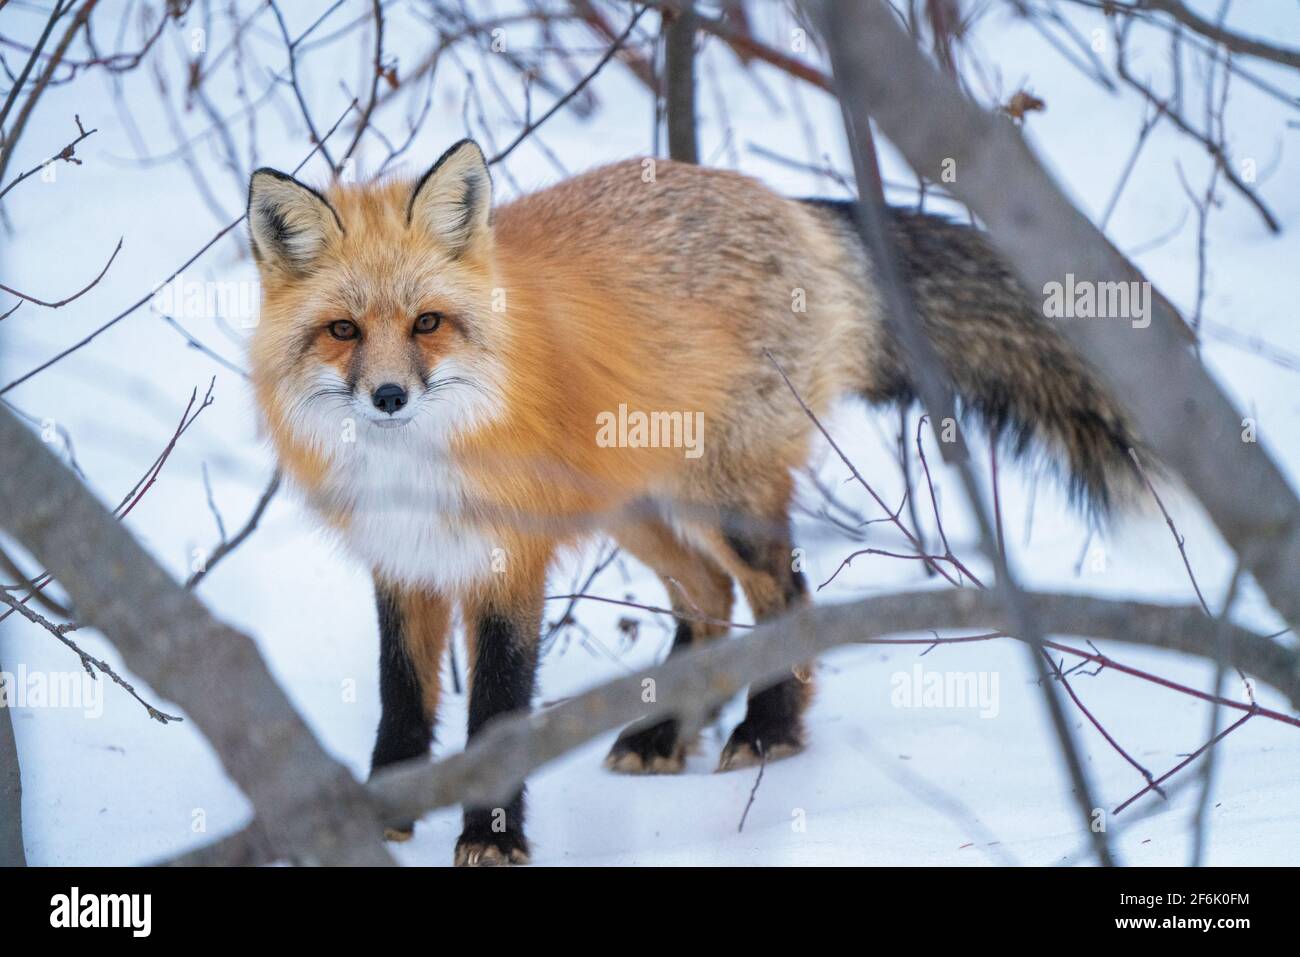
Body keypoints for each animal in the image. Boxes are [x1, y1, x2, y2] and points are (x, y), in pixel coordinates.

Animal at [245, 139, 1140, 866]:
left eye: (428, 322)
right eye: (343, 331)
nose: (390, 397)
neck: (419, 461)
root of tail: (787, 204)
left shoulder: (511, 559)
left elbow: (497, 709)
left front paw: (490, 836)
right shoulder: (402, 557)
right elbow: (401, 697)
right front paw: (380, 815)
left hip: (722, 501)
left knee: (784, 596)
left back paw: (768, 728)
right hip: (633, 506)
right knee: (708, 599)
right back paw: (667, 730)